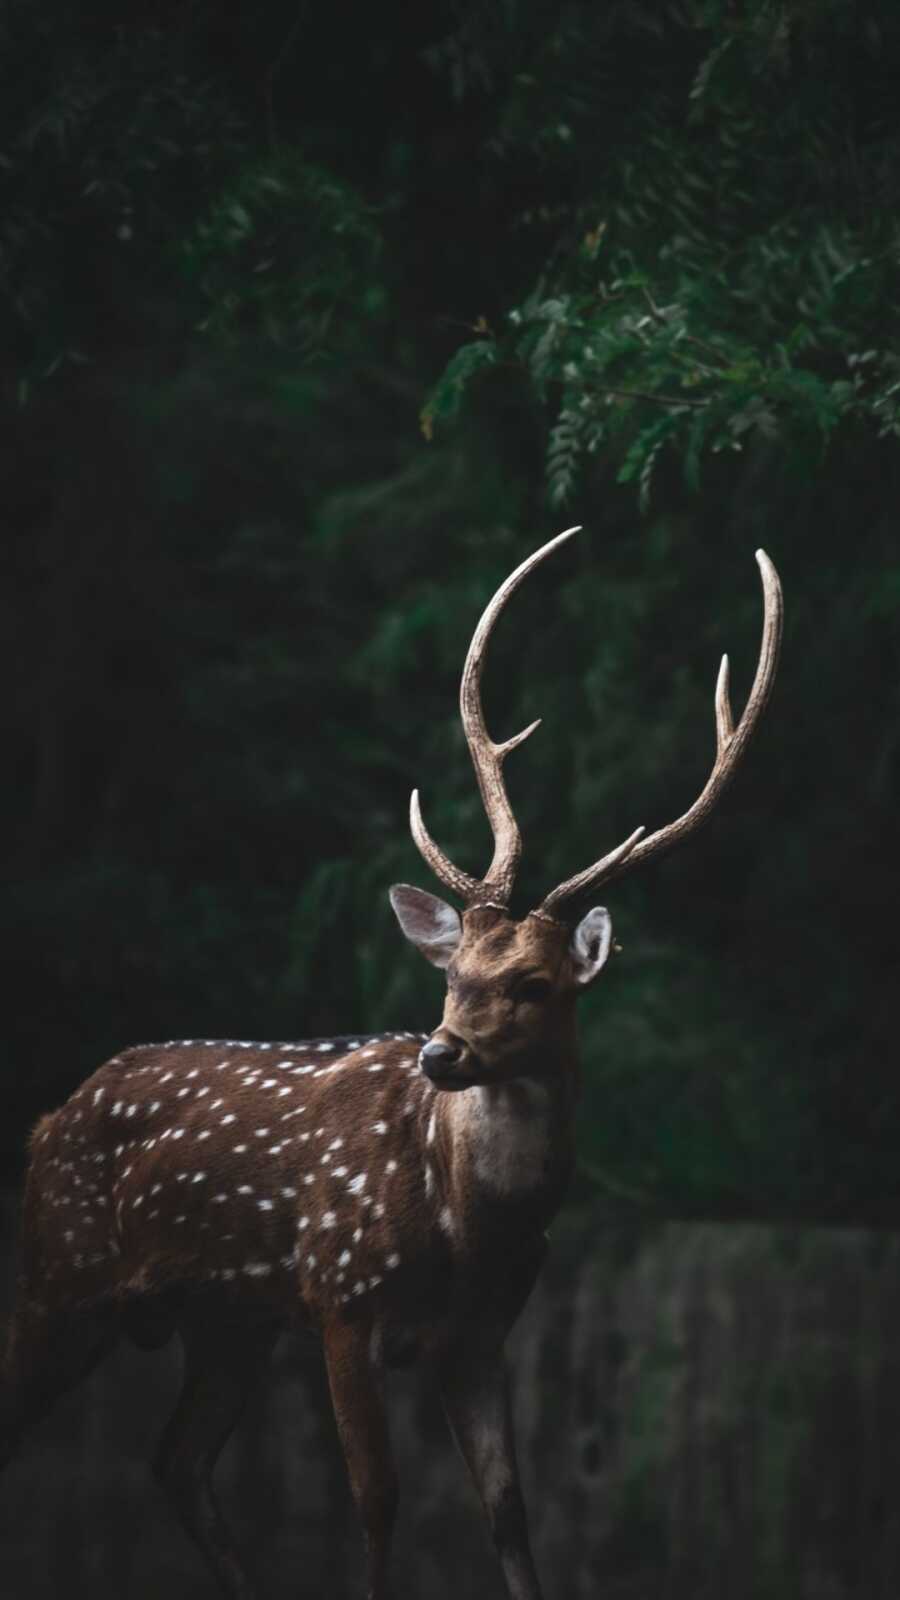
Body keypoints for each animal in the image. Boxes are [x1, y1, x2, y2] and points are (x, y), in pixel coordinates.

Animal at [1, 527, 782, 1600]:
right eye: (451, 971)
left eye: (534, 982)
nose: (441, 1053)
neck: (466, 1225)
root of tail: (50, 1118)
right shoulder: (341, 1293)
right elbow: (377, 1502)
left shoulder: (482, 1336)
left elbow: (511, 1515)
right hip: (61, 1269)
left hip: (224, 1318)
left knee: (178, 1461)